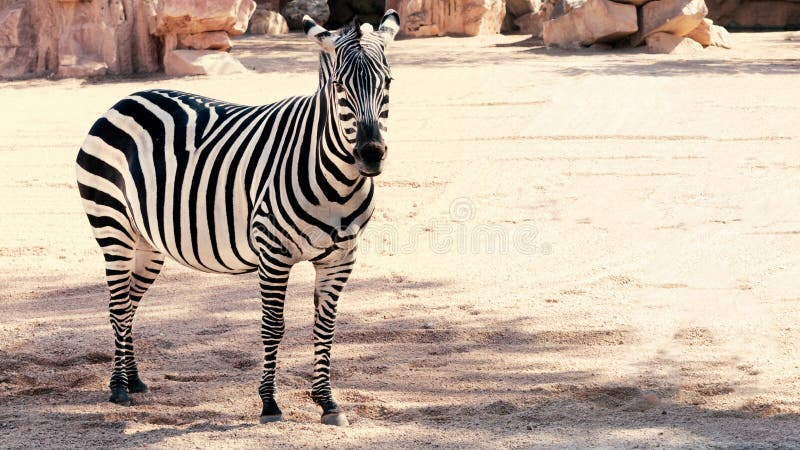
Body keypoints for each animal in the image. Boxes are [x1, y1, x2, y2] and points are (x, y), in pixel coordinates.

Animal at [75, 11, 400, 426]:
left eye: (387, 83)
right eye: (339, 87)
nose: (371, 154)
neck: (336, 181)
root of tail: (127, 98)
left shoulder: (341, 258)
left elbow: (325, 327)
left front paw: (328, 403)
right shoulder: (274, 252)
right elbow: (273, 327)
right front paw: (270, 404)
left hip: (148, 242)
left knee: (130, 304)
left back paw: (133, 381)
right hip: (111, 224)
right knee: (117, 305)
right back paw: (117, 387)